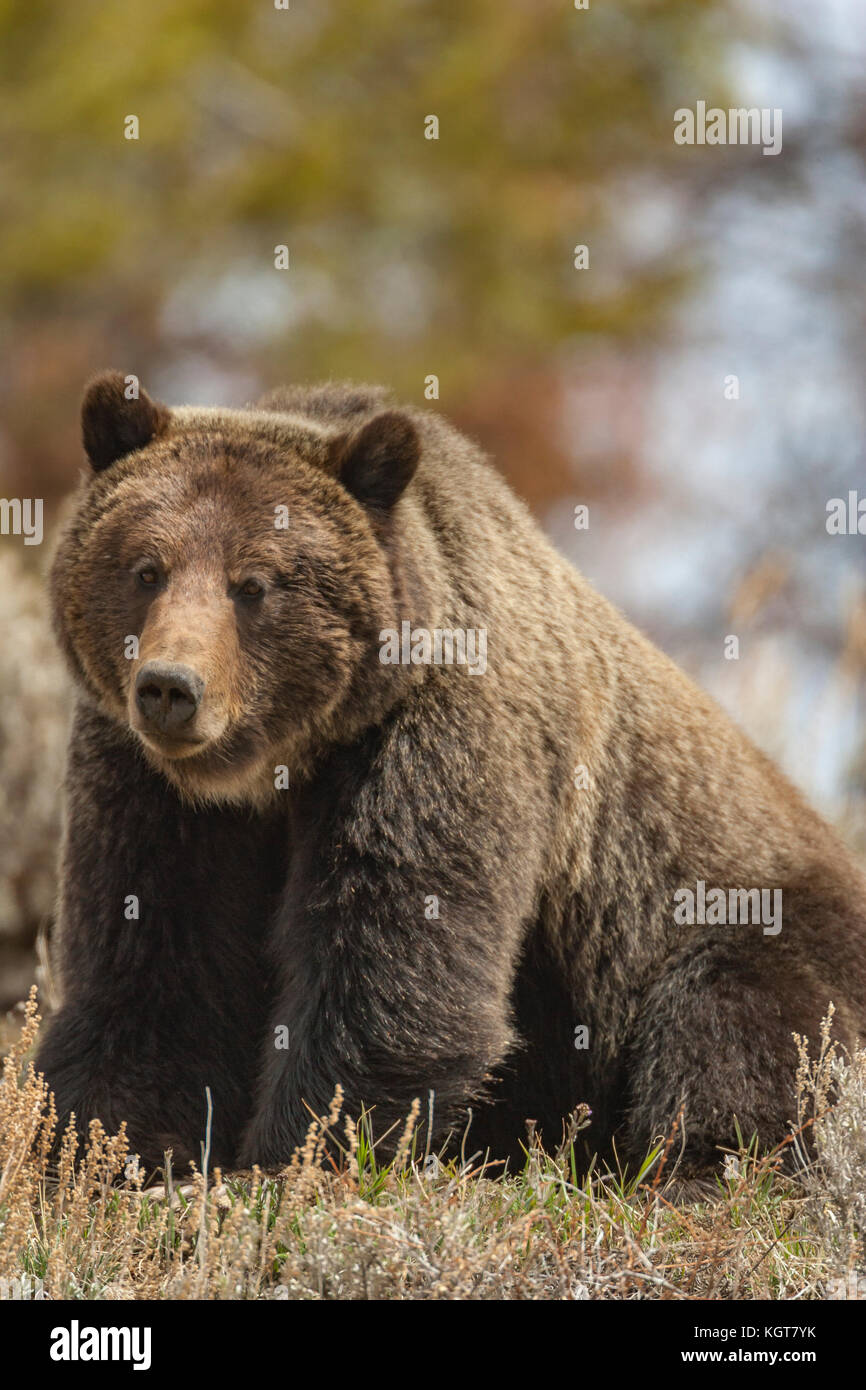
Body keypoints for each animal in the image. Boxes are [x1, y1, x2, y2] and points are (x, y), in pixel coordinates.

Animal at [35, 368, 866, 1178]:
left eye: (255, 584)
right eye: (146, 568)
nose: (171, 687)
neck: (280, 762)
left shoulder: (435, 736)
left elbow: (394, 960)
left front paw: (296, 1153)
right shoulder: (151, 787)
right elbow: (151, 954)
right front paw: (108, 1149)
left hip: (737, 911)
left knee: (739, 1023)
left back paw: (700, 1162)